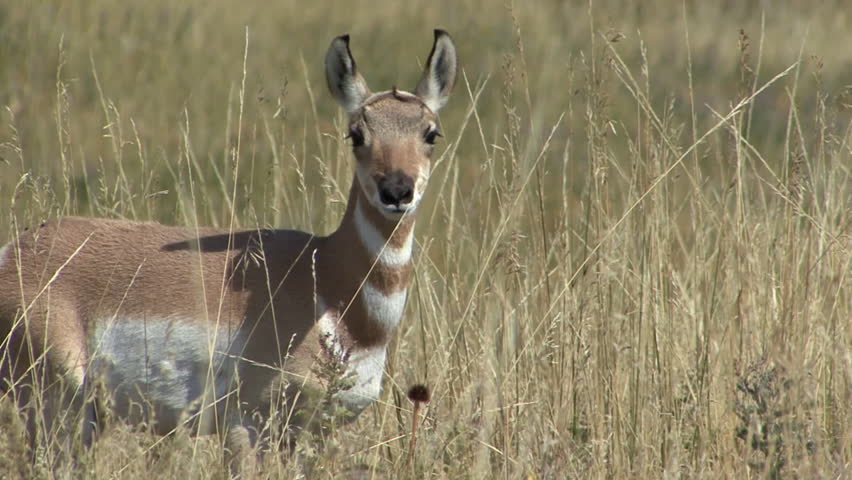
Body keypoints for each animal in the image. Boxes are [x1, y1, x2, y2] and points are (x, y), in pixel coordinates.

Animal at [0, 30, 456, 472]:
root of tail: (14, 252)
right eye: (356, 134)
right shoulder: (245, 424)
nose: (396, 190)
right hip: (55, 408)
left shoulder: (310, 434)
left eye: (430, 133)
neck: (327, 282)